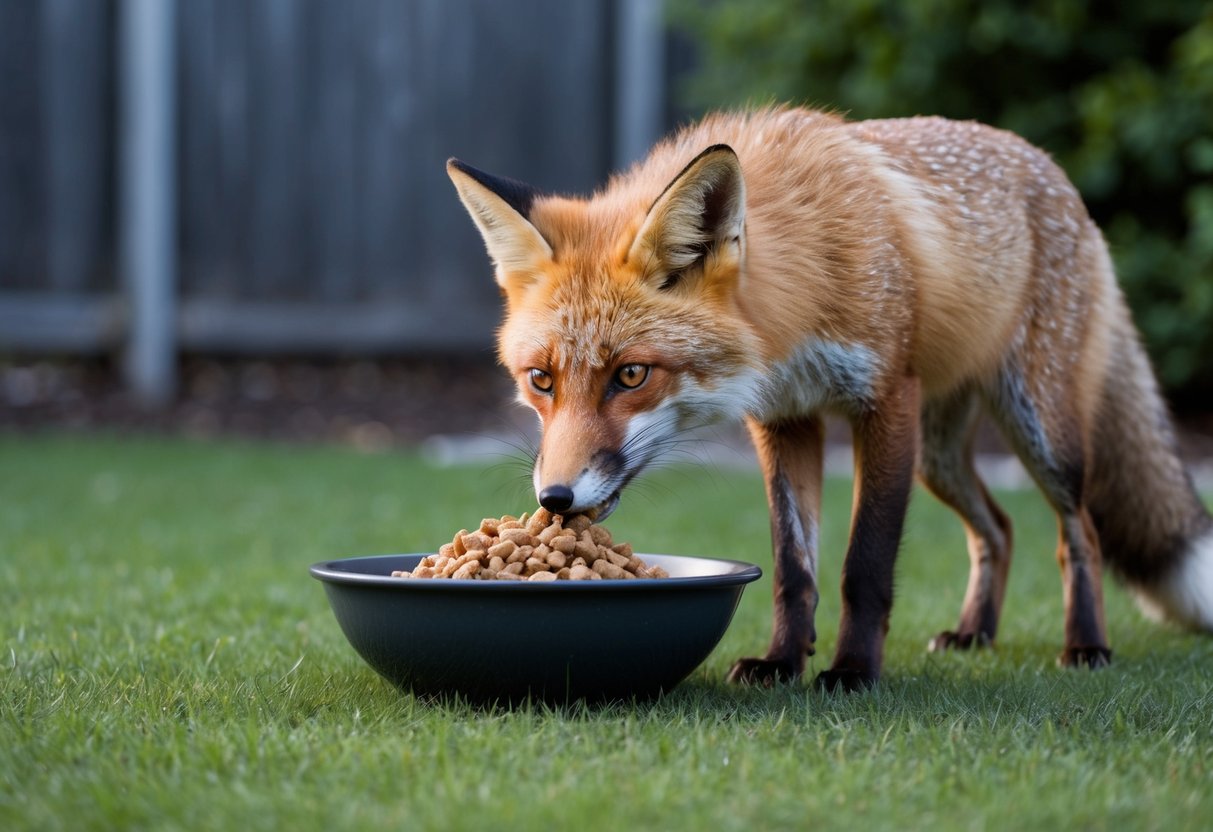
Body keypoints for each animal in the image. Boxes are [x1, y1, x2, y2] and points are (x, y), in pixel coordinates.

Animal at [447, 105, 1213, 692]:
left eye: (631, 376)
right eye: (541, 381)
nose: (554, 500)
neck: (801, 298)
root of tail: (1050, 168)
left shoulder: (885, 401)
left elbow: (862, 565)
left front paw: (851, 671)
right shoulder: (786, 420)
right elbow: (794, 566)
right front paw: (782, 662)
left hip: (1037, 428)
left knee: (1077, 532)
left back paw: (1085, 646)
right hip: (938, 457)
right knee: (997, 528)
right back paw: (974, 633)